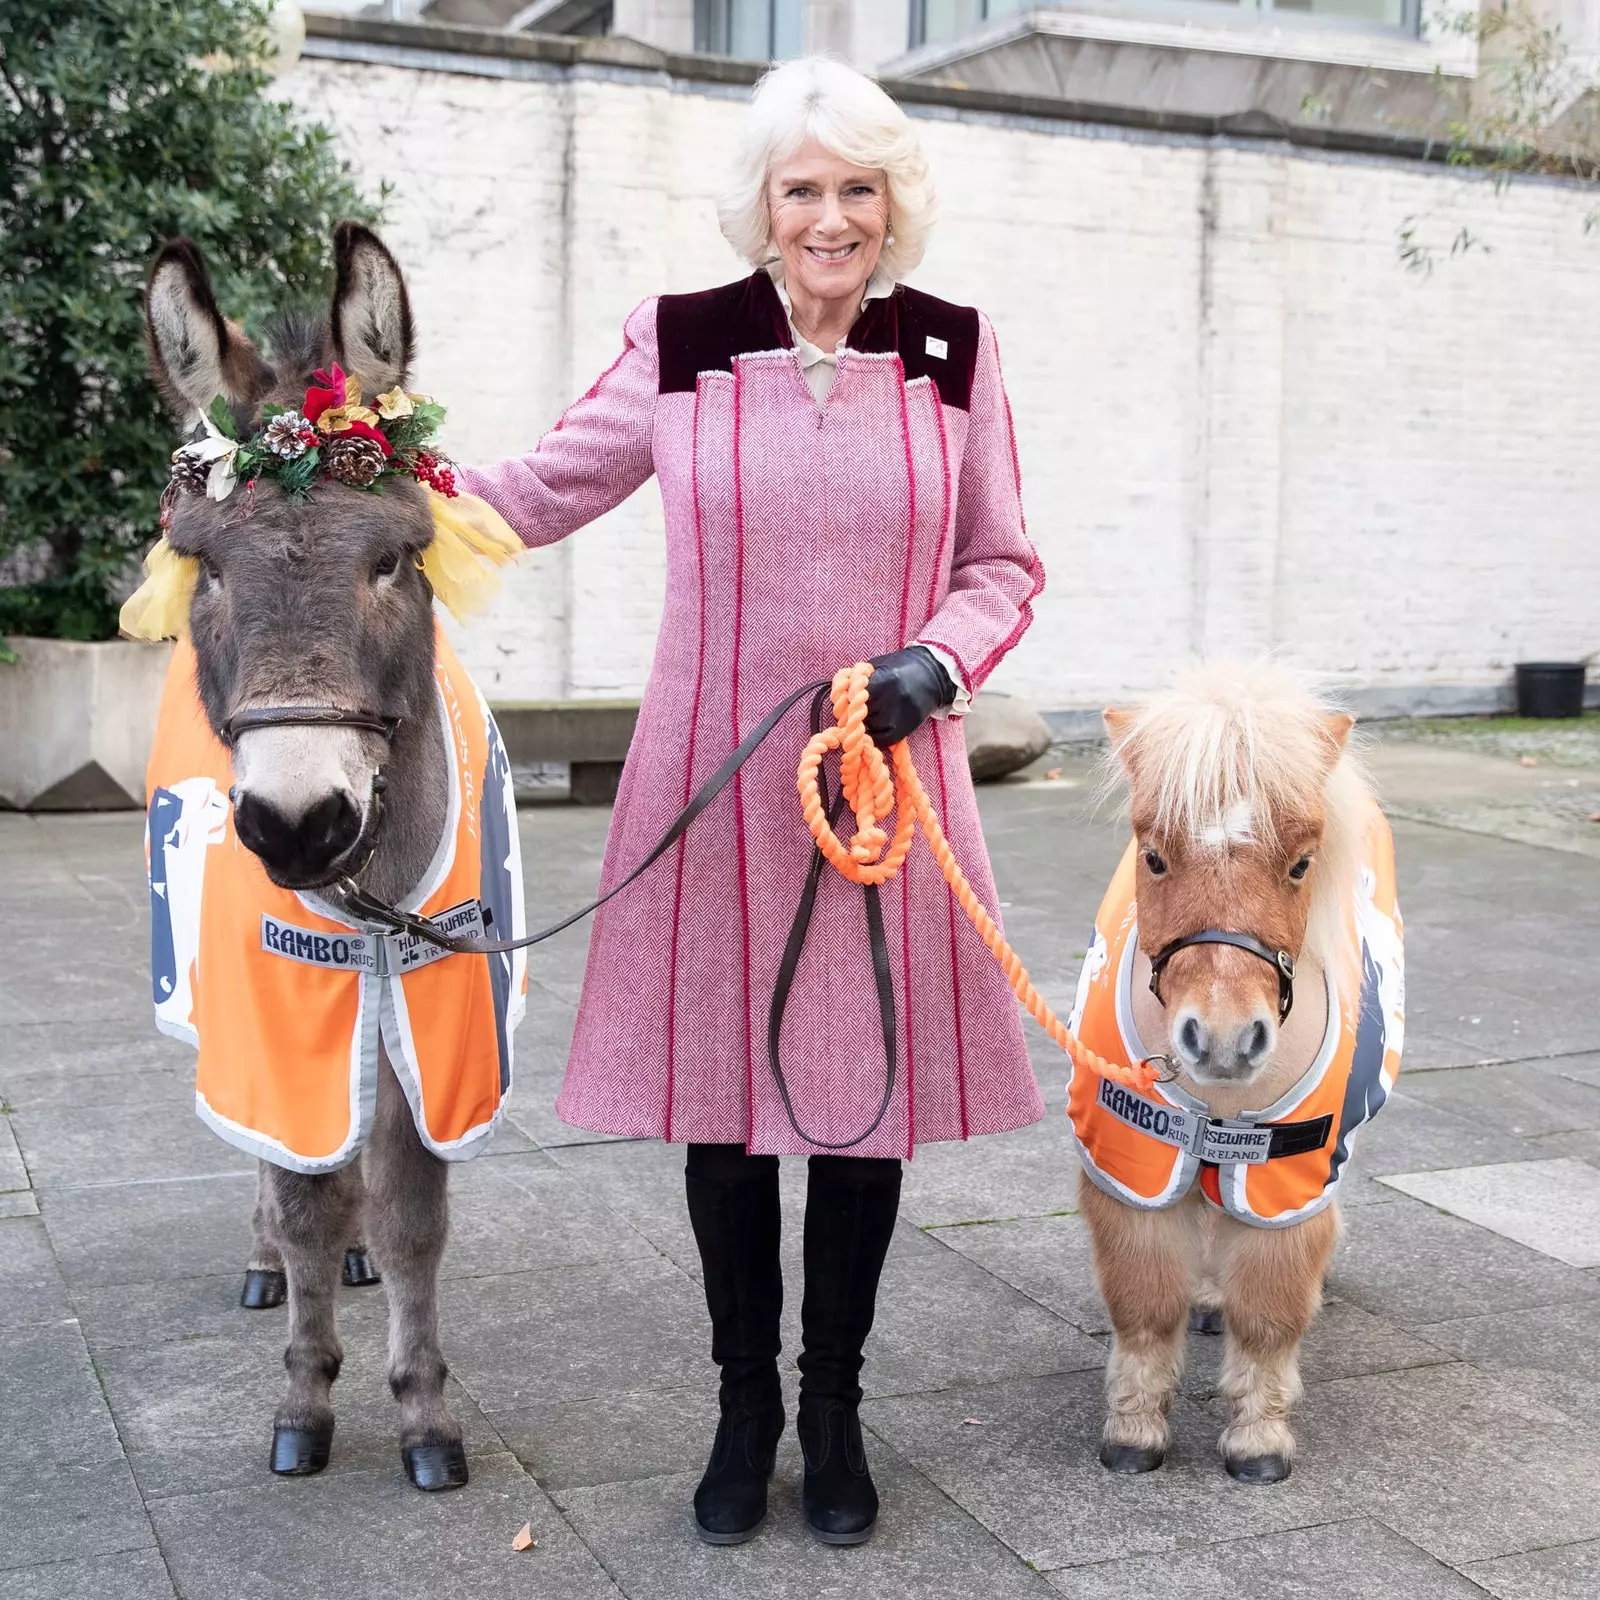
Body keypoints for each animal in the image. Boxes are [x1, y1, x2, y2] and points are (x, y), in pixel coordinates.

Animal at [1075, 656, 1401, 1478]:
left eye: (1302, 863)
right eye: (1154, 857)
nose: (1223, 1041)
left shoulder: (1290, 1179)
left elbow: (1271, 1312)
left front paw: (1259, 1438)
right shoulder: (1133, 1166)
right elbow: (1145, 1304)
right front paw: (1134, 1431)